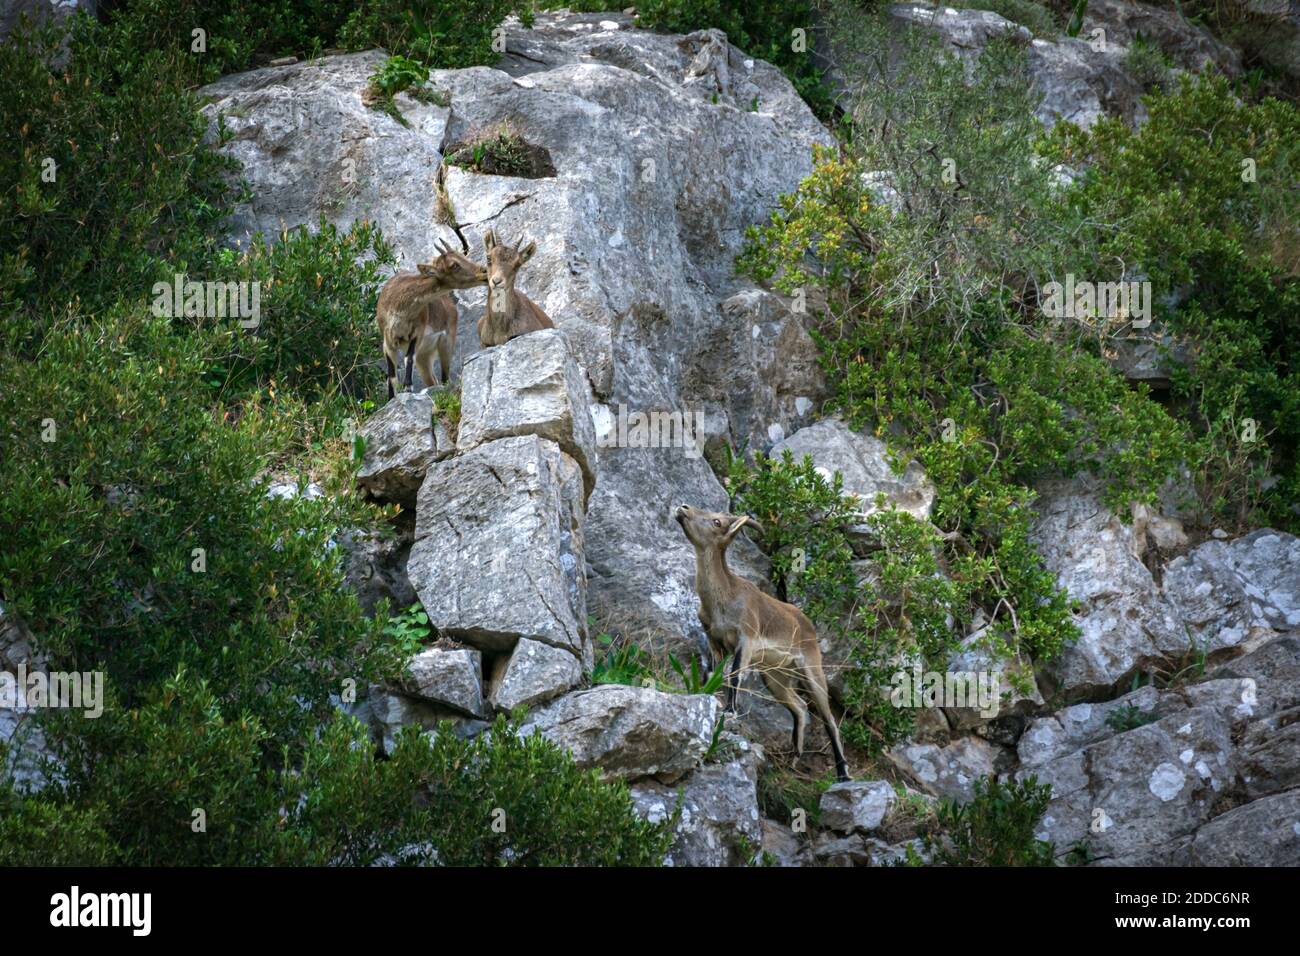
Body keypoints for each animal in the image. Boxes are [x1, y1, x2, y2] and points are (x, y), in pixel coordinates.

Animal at [376, 241, 486, 399]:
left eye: (461, 256)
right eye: (454, 265)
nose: (484, 271)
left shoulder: (417, 331)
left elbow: (409, 357)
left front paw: (408, 387)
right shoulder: (388, 340)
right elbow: (391, 374)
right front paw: (392, 397)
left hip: (446, 342)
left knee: (444, 378)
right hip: (425, 356)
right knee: (432, 380)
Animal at [675, 503, 850, 782]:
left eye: (717, 521)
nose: (684, 508)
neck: (725, 597)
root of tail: (807, 623)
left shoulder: (745, 639)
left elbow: (736, 674)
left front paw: (730, 711)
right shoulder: (714, 640)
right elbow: (714, 673)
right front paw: (709, 698)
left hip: (811, 668)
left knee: (828, 718)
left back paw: (843, 772)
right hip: (775, 676)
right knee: (799, 706)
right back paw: (795, 755)